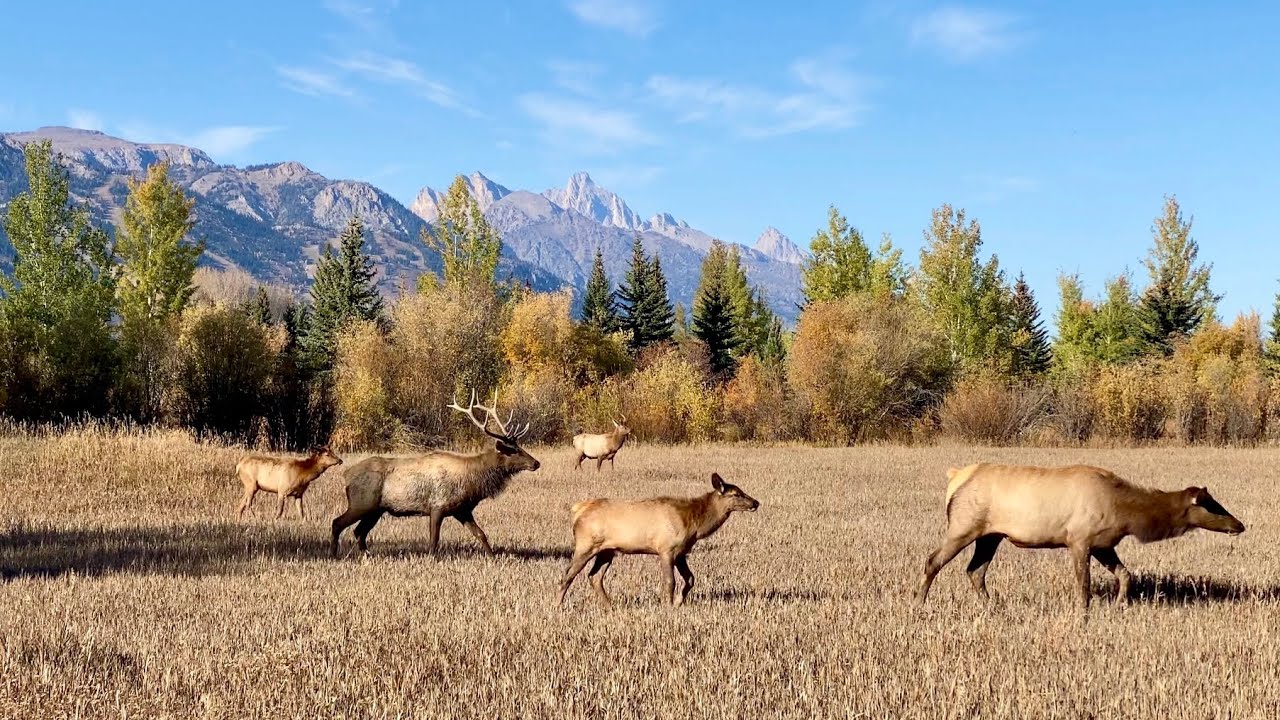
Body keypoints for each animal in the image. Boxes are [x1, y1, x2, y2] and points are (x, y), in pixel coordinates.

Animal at [330, 391, 540, 558]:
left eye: (519, 447)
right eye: (513, 450)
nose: (536, 463)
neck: (471, 482)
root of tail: (347, 474)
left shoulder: (462, 510)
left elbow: (480, 533)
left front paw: (493, 557)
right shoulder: (438, 505)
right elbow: (434, 539)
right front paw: (432, 559)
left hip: (376, 509)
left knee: (359, 531)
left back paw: (366, 554)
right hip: (361, 503)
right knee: (337, 523)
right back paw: (333, 554)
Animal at [558, 473, 759, 608]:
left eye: (742, 491)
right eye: (736, 494)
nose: (756, 502)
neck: (695, 524)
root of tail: (577, 511)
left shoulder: (681, 552)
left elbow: (690, 578)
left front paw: (678, 602)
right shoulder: (666, 548)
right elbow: (670, 581)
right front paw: (668, 606)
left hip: (607, 551)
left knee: (595, 577)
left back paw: (610, 606)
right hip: (586, 545)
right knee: (567, 575)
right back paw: (558, 606)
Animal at [915, 463, 1246, 609]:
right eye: (1212, 506)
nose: (1240, 525)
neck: (1126, 515)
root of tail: (955, 476)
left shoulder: (1103, 544)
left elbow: (1125, 574)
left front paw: (1119, 604)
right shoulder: (1079, 539)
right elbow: (1083, 584)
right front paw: (1083, 612)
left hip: (991, 535)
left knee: (975, 570)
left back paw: (994, 605)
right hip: (964, 526)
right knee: (933, 560)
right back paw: (919, 603)